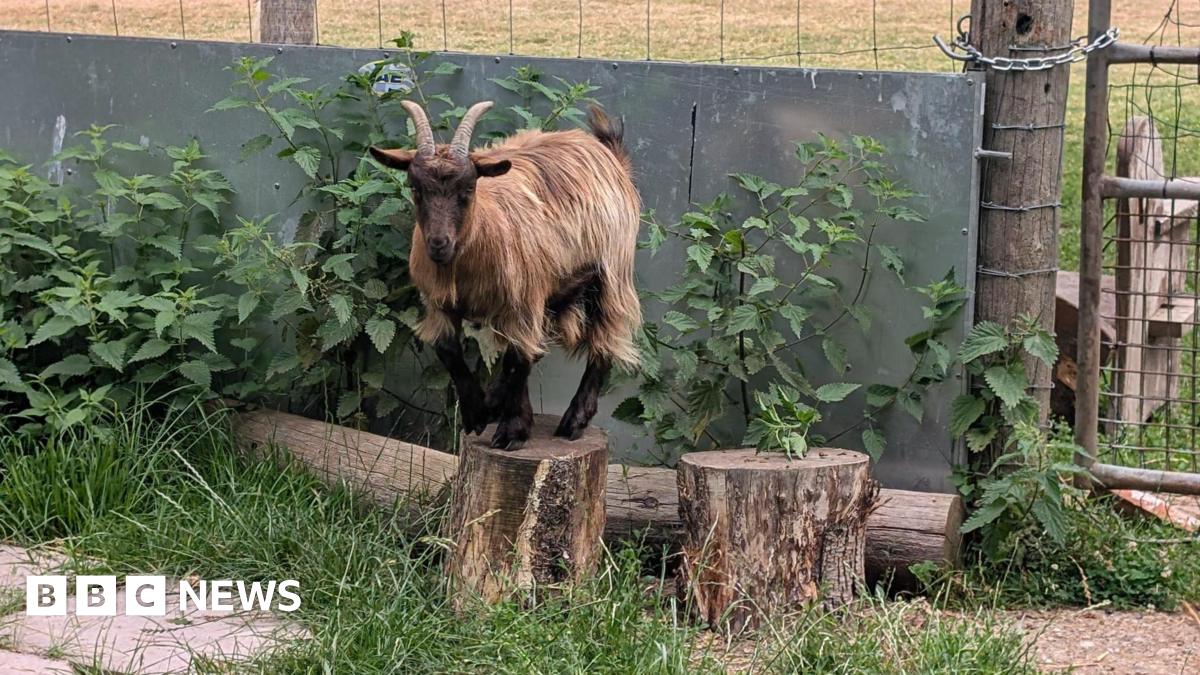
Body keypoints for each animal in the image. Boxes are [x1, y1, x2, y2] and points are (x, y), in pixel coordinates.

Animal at [370, 100, 641, 449]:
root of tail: (609, 154)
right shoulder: (439, 304)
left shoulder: (523, 301)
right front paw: (477, 414)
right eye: (415, 187)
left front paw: (511, 431)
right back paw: (498, 401)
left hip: (612, 274)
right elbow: (452, 352)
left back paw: (574, 420)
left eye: (468, 188)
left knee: (604, 341)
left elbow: (517, 360)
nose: (439, 243)